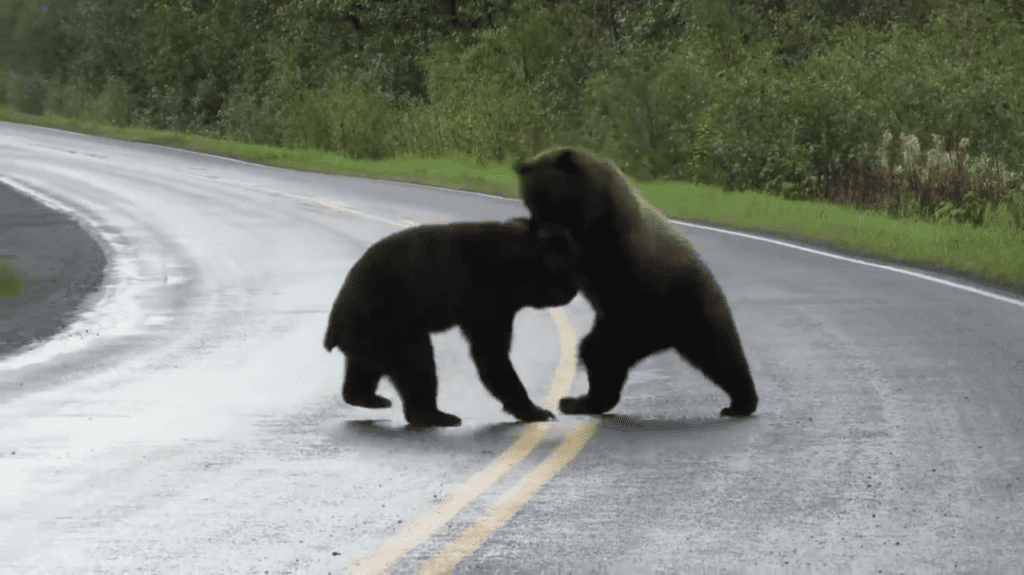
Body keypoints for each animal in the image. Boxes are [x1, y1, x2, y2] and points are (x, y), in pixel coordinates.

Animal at [323, 218, 582, 427]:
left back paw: (371, 398)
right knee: (417, 362)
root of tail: (333, 328)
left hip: (370, 334)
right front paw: (537, 411)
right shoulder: (486, 294)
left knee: (365, 368)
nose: (573, 291)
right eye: (567, 271)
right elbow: (491, 353)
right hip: (389, 321)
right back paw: (435, 415)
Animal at [515, 147, 758, 417]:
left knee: (721, 352)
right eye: (530, 199)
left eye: (546, 197)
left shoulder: (608, 236)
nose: (538, 221)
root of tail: (662, 336)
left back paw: (741, 402)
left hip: (675, 307)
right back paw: (582, 401)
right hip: (630, 321)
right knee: (598, 353)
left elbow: (580, 253)